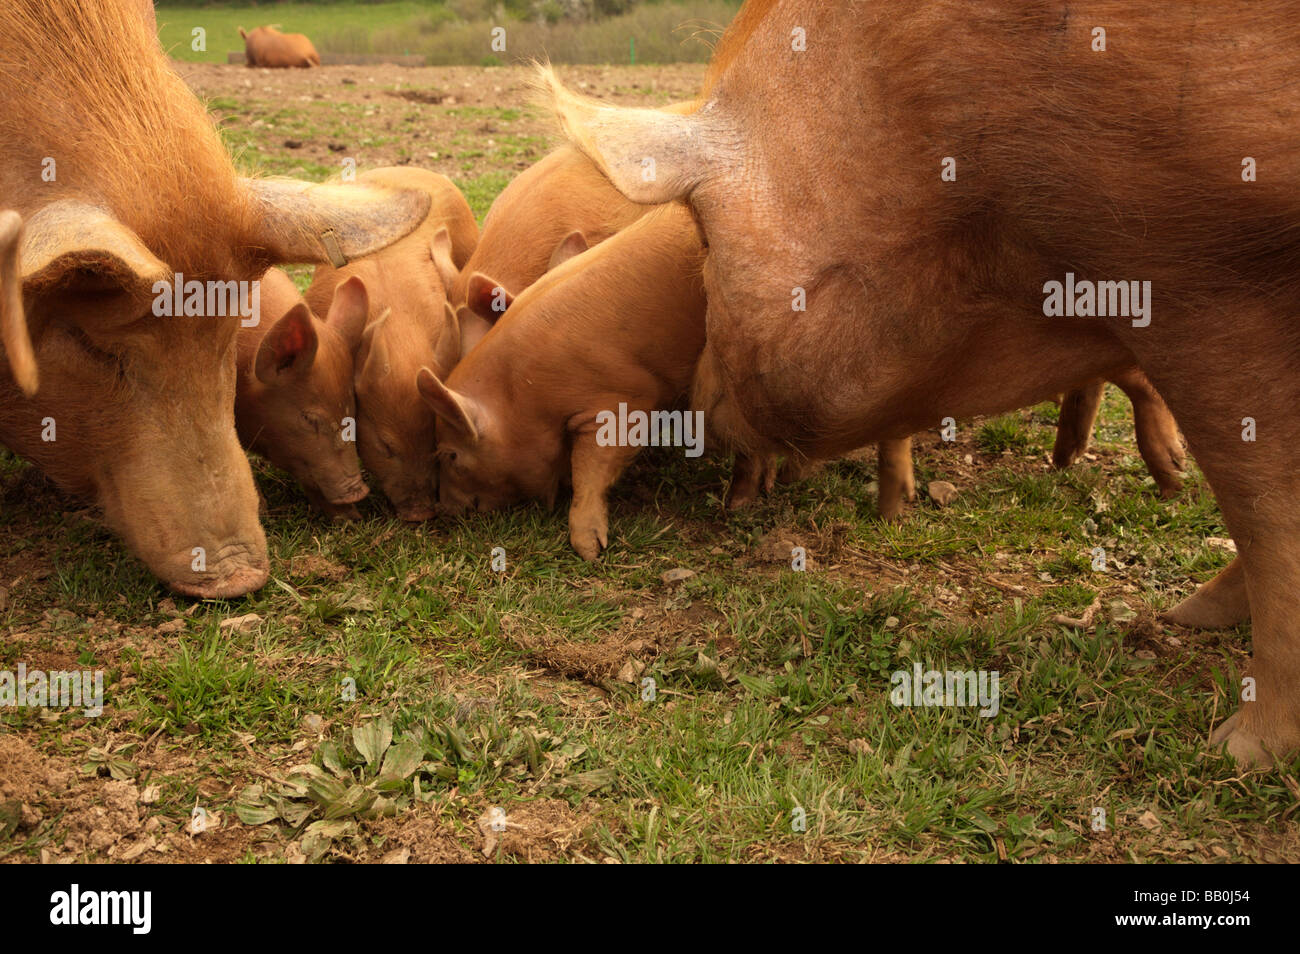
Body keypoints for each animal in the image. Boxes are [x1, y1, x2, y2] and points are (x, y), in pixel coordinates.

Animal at [542, 0, 1300, 764]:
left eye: (702, 241)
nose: (698, 397)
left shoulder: (1204, 287)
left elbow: (1264, 513)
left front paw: (1238, 748)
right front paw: (1188, 618)